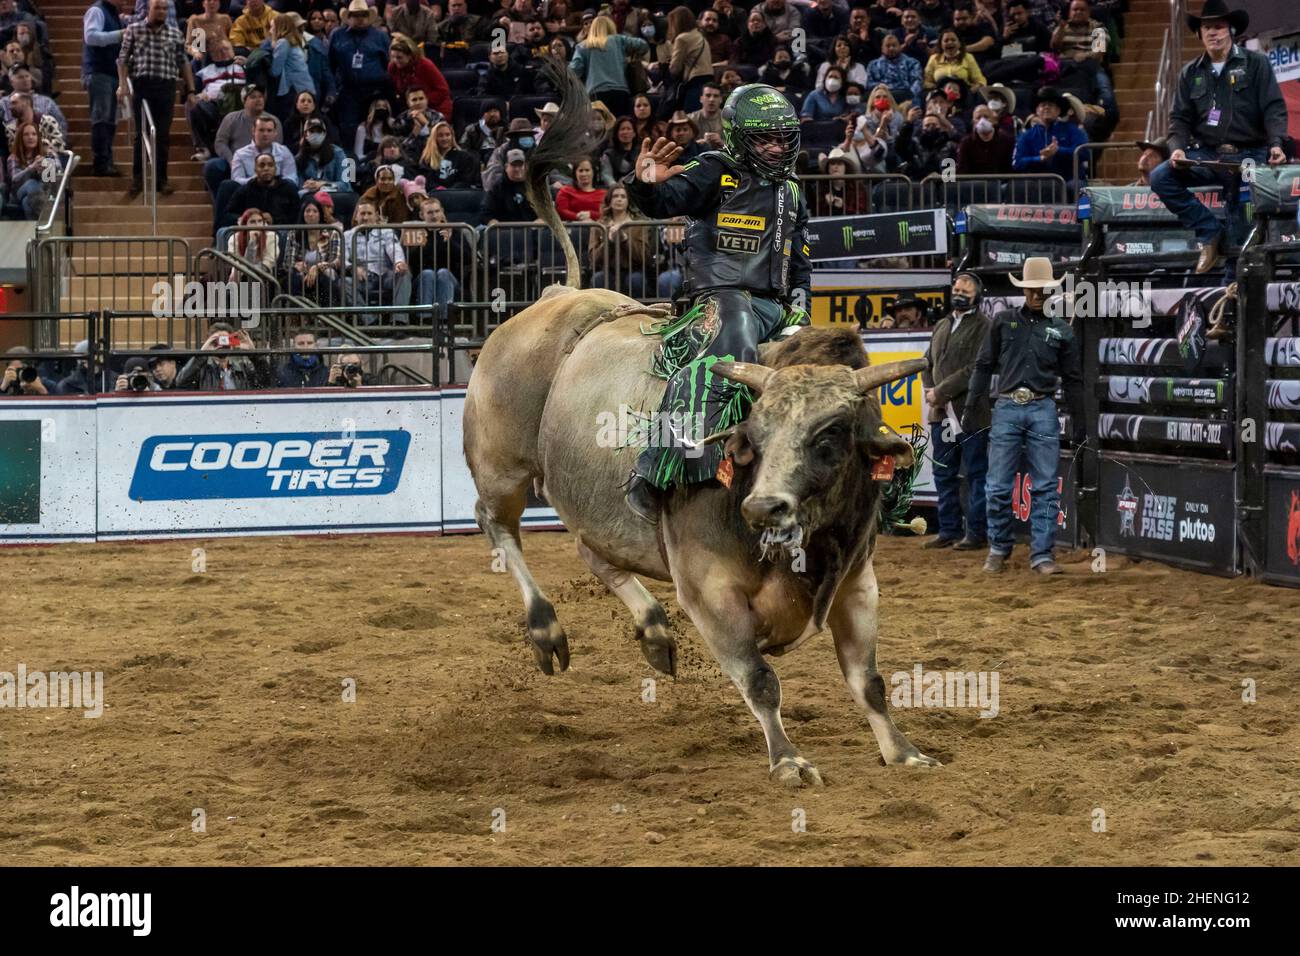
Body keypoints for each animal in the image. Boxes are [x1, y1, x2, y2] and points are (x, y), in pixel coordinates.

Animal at [463, 61, 938, 785]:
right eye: (753, 437)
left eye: (831, 436)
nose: (766, 506)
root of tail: (555, 296)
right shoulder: (710, 592)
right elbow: (760, 678)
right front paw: (789, 760)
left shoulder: (858, 584)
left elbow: (870, 682)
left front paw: (904, 751)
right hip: (503, 467)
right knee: (499, 528)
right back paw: (547, 631)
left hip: (588, 500)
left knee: (593, 552)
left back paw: (654, 632)